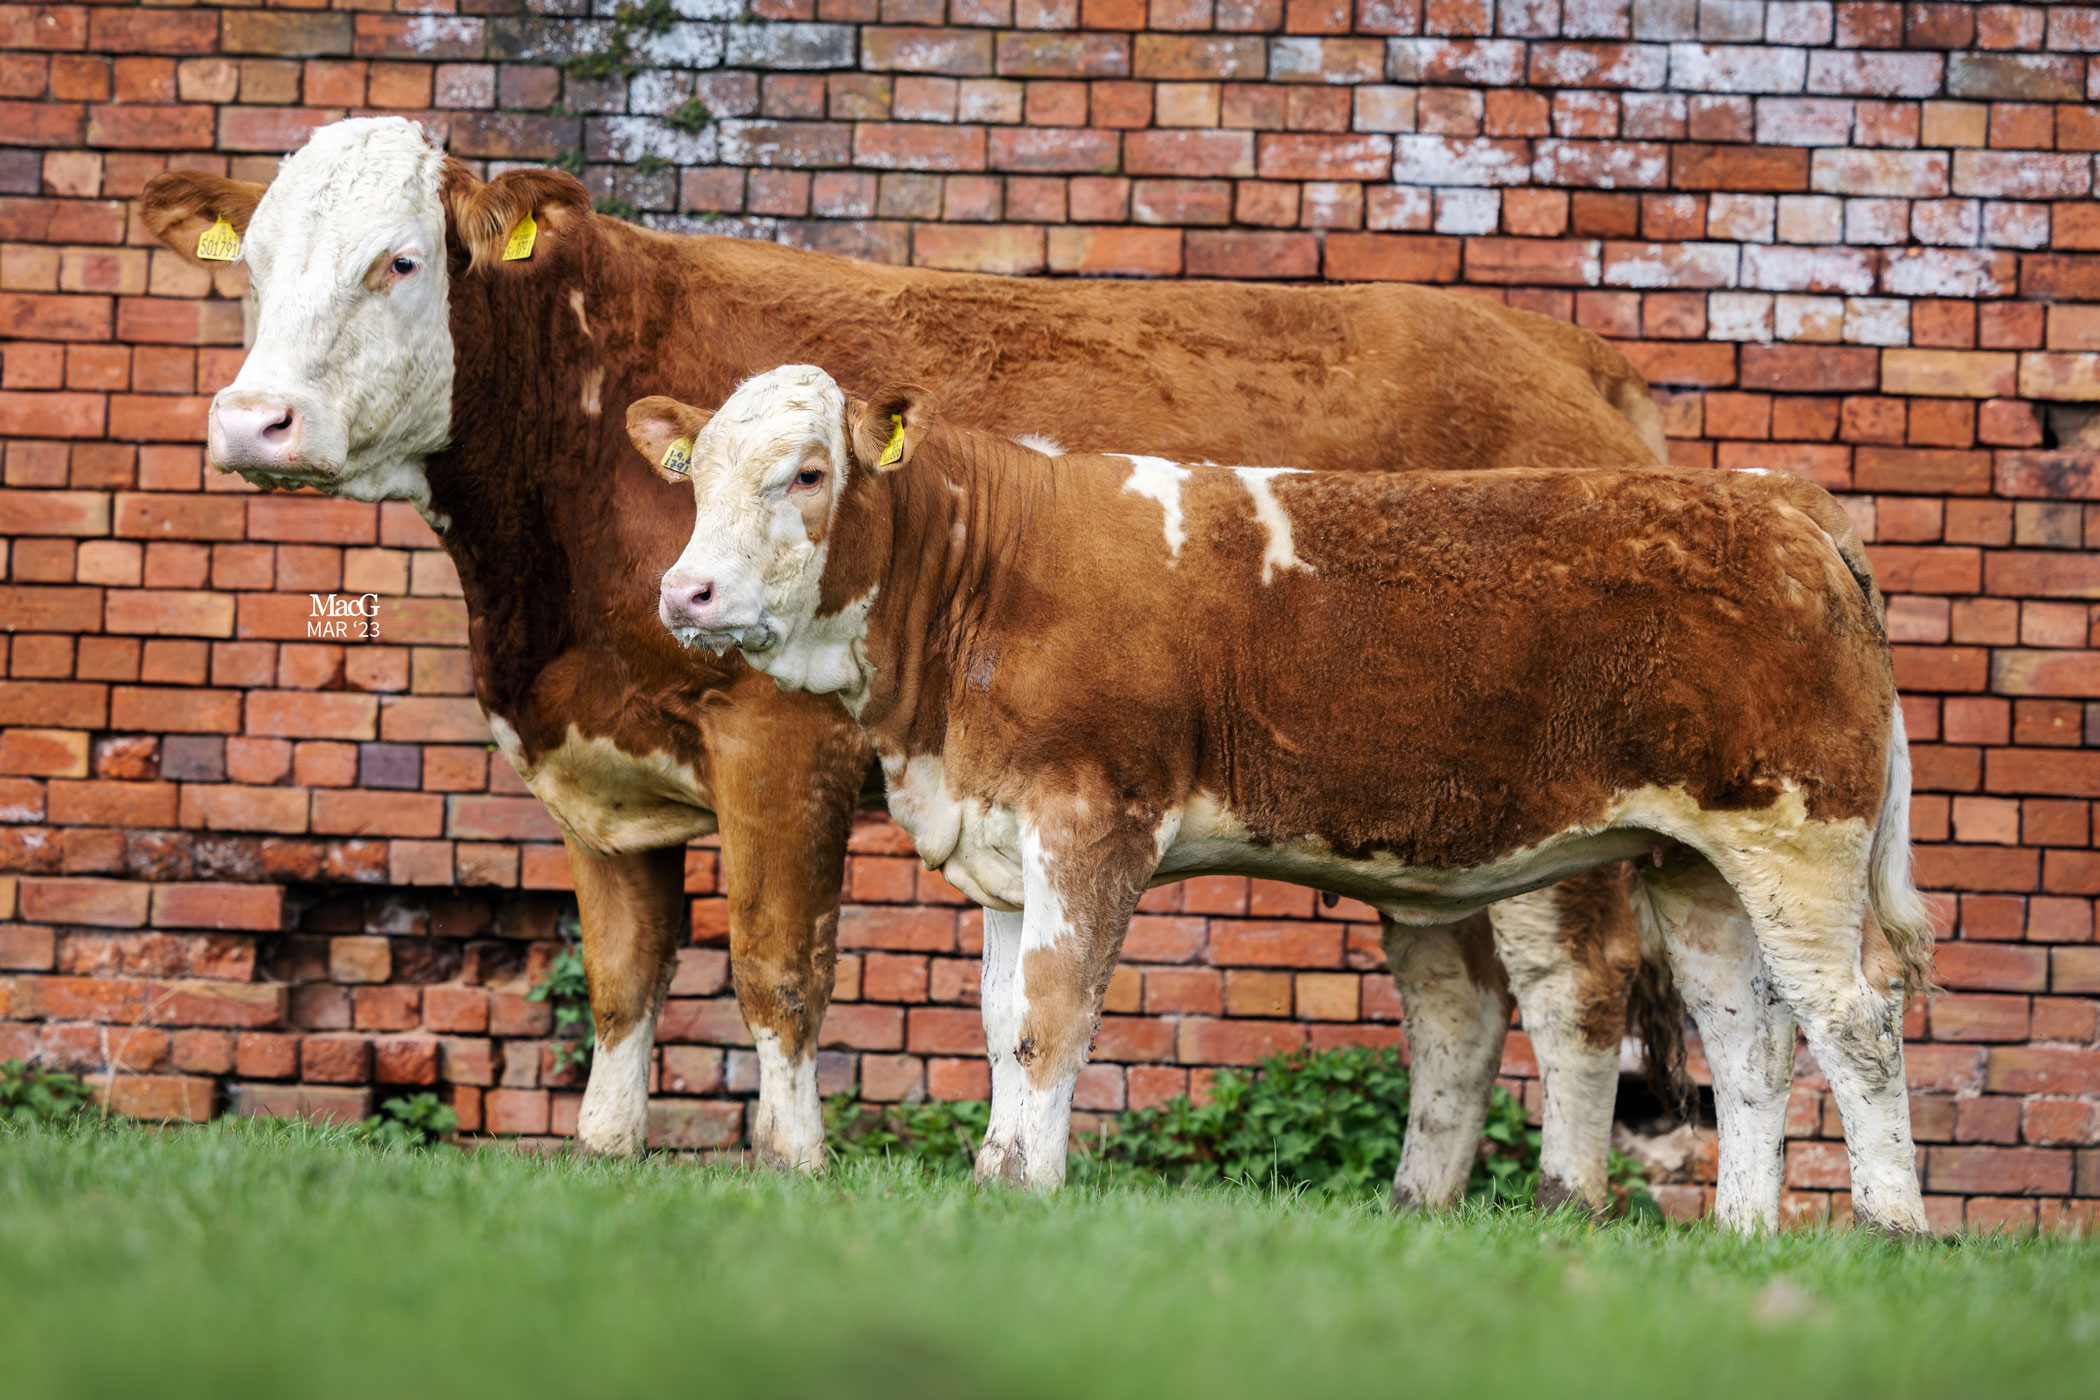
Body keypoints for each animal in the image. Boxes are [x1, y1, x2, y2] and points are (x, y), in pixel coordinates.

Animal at [140, 115, 1682, 1207]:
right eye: (254, 266)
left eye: (398, 259)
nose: (255, 422)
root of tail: (1563, 350)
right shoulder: (600, 774)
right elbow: (626, 977)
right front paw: (605, 1155)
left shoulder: (777, 741)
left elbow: (777, 965)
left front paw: (794, 1166)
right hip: (1429, 822)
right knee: (1456, 1000)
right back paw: (1423, 1204)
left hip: (1563, 800)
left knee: (1576, 982)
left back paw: (1566, 1201)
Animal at [634, 366, 1936, 1235]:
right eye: (692, 475)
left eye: (807, 472)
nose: (684, 592)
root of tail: (1778, 497)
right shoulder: (1007, 841)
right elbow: (1004, 1017)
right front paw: (998, 1179)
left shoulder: (1090, 816)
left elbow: (1054, 1013)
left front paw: (1036, 1186)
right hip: (1699, 857)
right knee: (1752, 1033)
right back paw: (1743, 1227)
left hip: (1800, 833)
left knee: (1855, 1020)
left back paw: (1891, 1223)